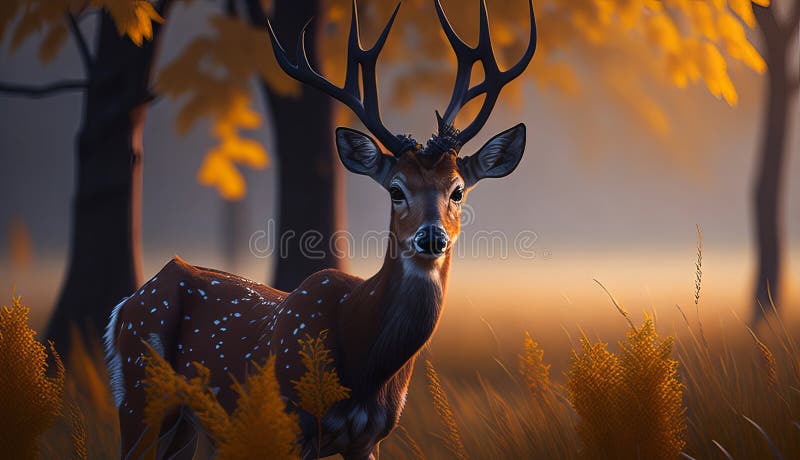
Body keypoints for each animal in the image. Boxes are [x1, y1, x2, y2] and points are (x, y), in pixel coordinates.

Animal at [105, 0, 536, 458]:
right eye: (396, 189)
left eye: (457, 190)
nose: (431, 236)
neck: (364, 366)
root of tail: (125, 305)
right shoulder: (292, 422)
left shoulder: (371, 437)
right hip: (140, 394)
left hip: (188, 425)